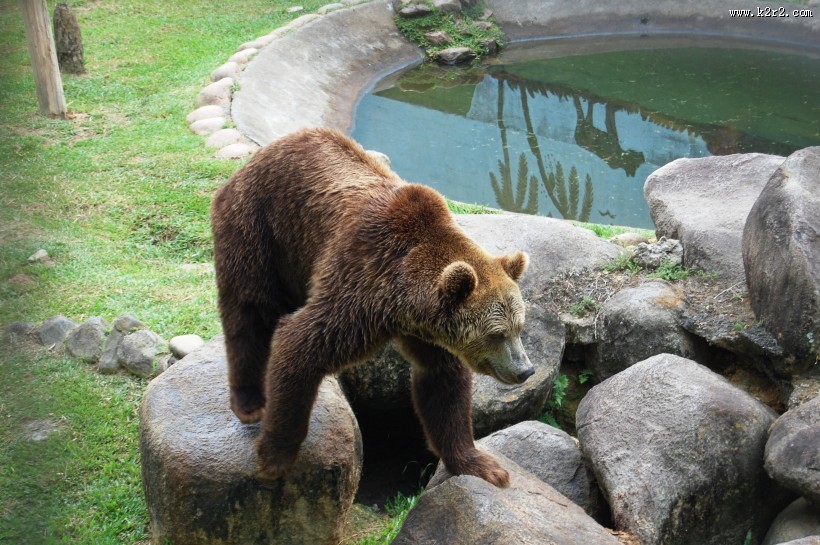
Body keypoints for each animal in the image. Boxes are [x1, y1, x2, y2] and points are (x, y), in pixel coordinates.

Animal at [210, 128, 534, 488]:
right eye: (496, 333)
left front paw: (482, 464)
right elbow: (300, 344)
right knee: (250, 310)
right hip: (261, 227)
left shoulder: (427, 331)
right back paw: (249, 401)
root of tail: (257, 156)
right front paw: (274, 458)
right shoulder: (359, 285)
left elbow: (443, 383)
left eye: (519, 327)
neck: (404, 297)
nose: (525, 370)